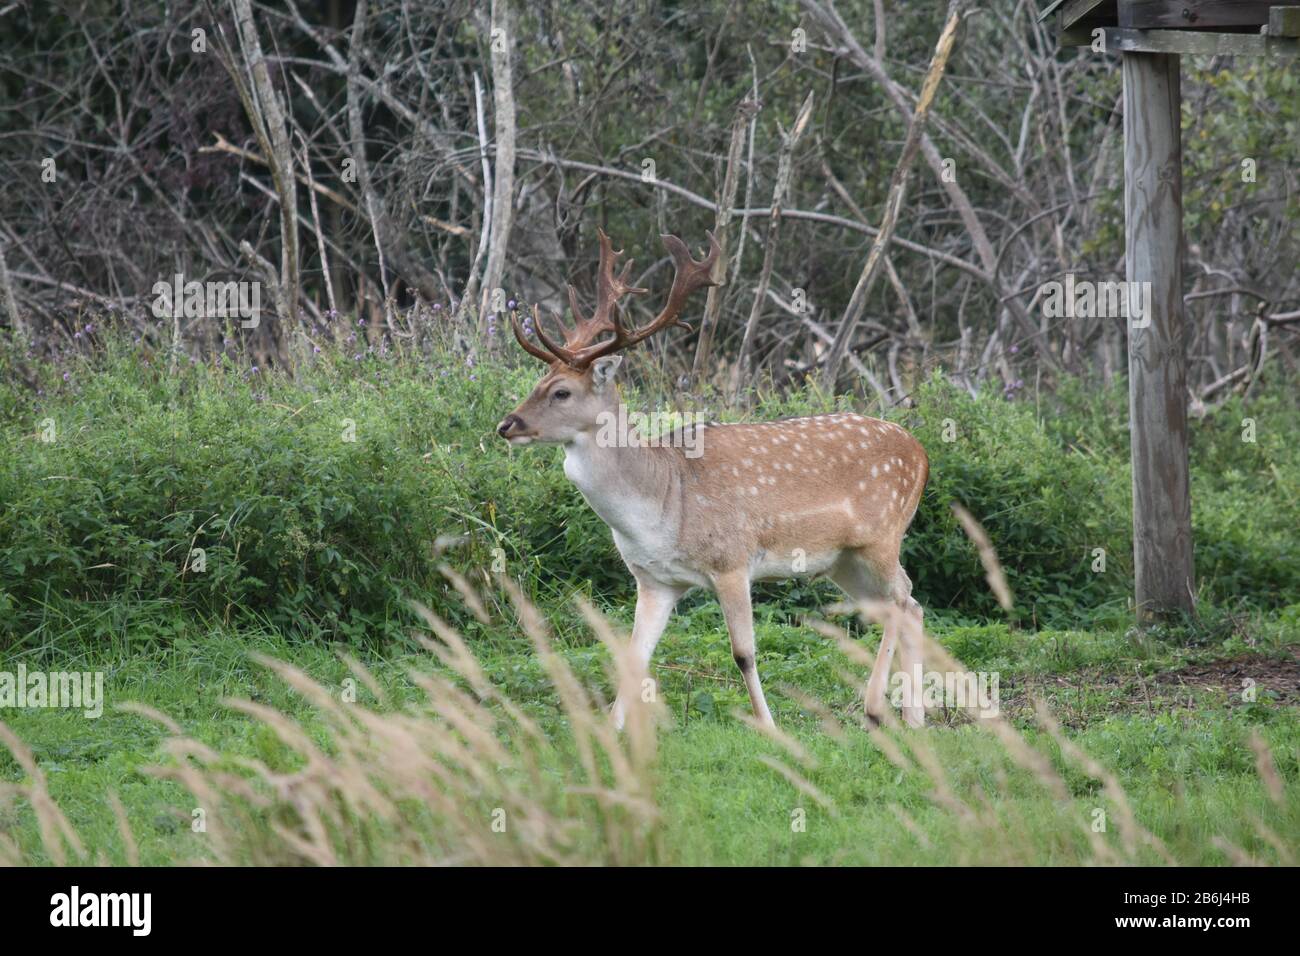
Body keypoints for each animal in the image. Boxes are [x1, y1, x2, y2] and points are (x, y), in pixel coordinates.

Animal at [497, 230, 929, 730]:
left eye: (562, 392)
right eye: (538, 381)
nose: (507, 425)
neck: (664, 504)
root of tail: (921, 453)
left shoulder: (732, 560)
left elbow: (743, 652)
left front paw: (768, 726)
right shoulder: (655, 580)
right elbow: (634, 657)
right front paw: (612, 729)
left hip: (881, 536)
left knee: (901, 600)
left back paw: (876, 709)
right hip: (843, 560)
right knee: (908, 604)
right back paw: (914, 718)